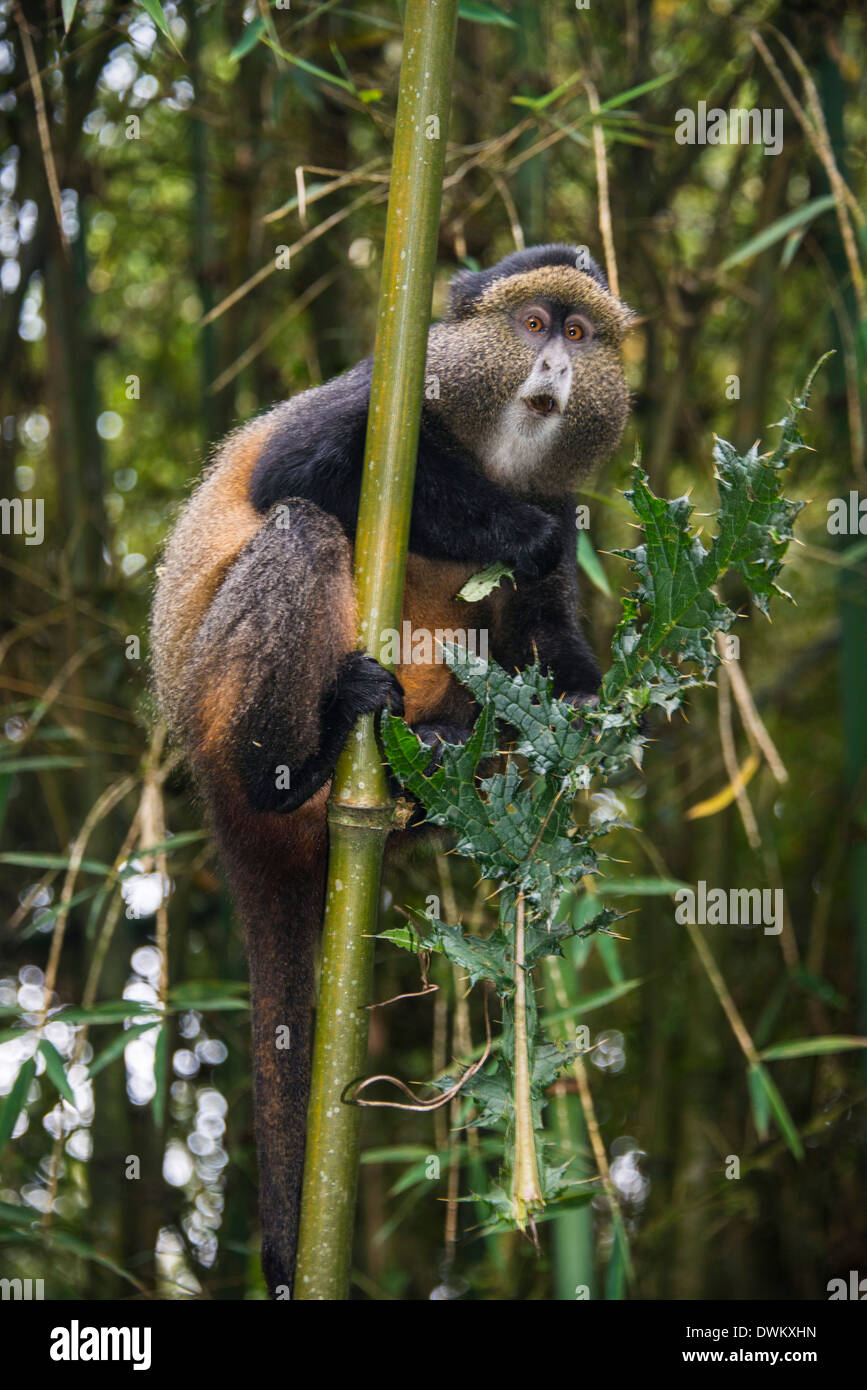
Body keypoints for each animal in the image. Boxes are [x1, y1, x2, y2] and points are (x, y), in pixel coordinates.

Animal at [150, 242, 633, 1297]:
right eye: (530, 326)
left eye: (580, 334)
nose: (555, 367)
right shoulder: (382, 398)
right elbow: (297, 469)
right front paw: (510, 533)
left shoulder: (561, 494)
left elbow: (546, 631)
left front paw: (584, 714)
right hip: (219, 703)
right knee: (299, 527)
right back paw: (302, 759)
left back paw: (437, 764)